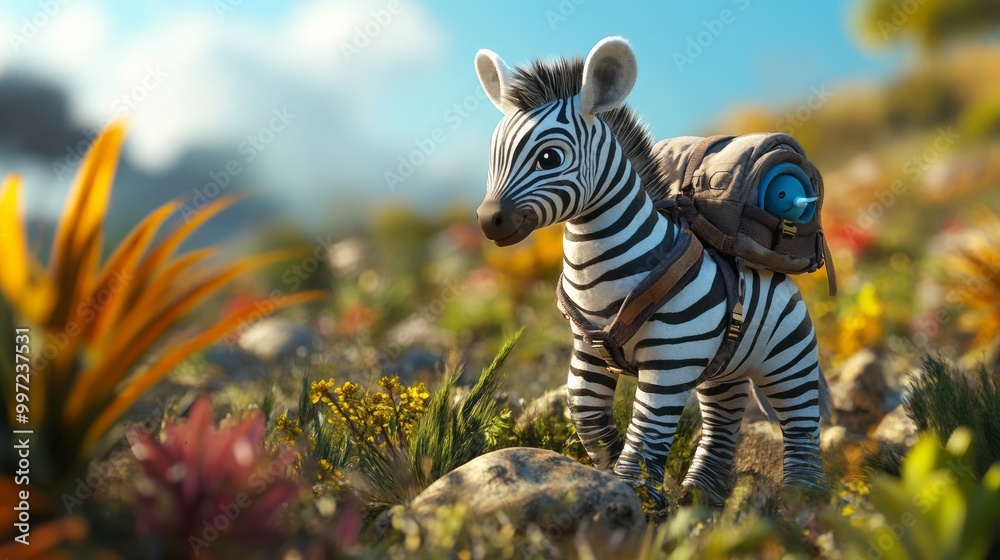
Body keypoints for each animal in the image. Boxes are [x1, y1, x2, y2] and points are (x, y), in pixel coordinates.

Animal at [474, 37, 829, 506]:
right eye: (491, 155)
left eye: (549, 158)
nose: (488, 221)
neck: (599, 281)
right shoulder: (589, 347)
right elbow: (585, 412)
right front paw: (609, 465)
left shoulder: (671, 359)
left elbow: (647, 430)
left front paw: (637, 498)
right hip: (723, 368)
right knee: (723, 417)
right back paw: (701, 495)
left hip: (788, 358)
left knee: (801, 422)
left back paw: (802, 501)